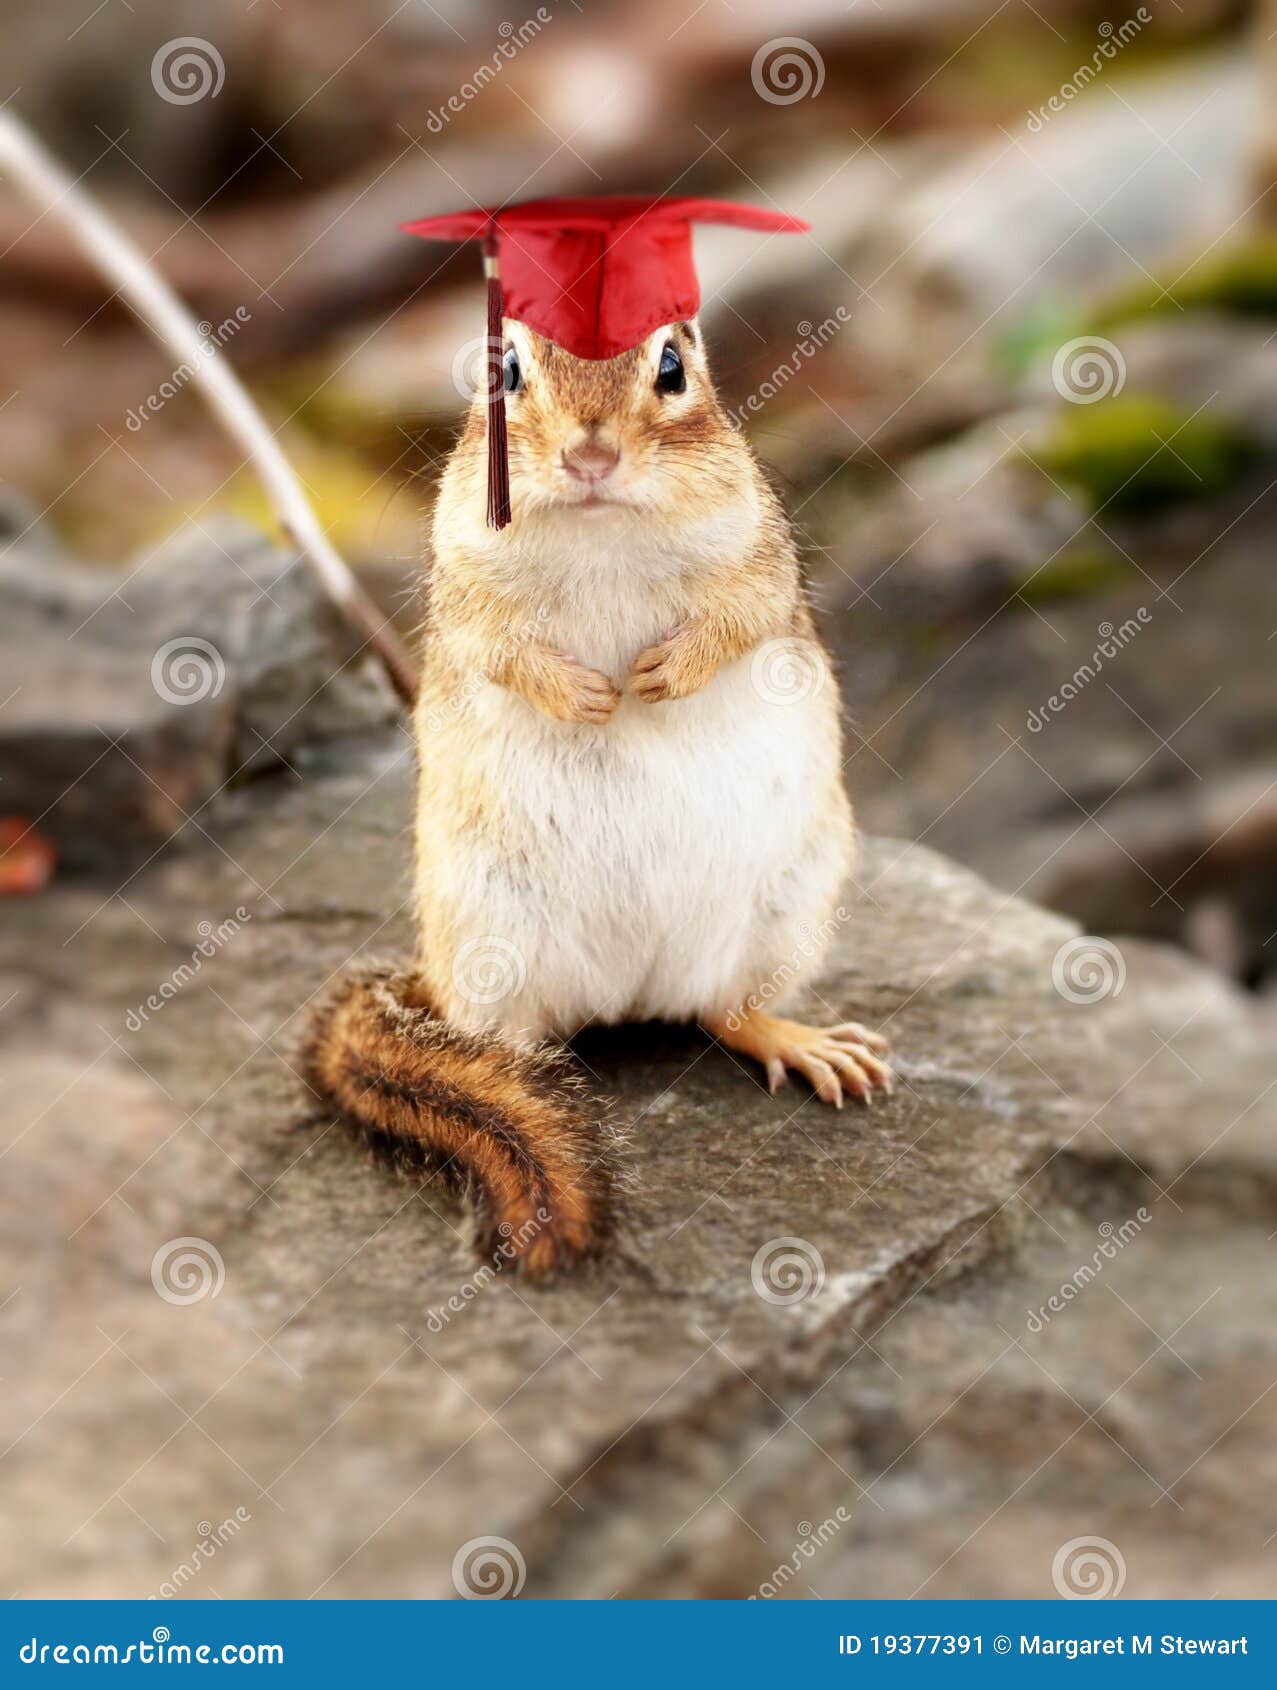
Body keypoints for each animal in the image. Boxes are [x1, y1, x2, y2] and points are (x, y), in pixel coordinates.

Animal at [302, 316, 893, 1280]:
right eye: (504, 370)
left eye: (672, 368)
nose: (590, 456)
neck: (599, 528)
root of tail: (625, 997)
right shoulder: (461, 581)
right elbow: (496, 646)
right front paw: (580, 695)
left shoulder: (760, 552)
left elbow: (741, 616)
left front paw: (664, 674)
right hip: (491, 940)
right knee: (506, 1050)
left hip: (786, 914)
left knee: (725, 1011)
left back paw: (803, 1042)